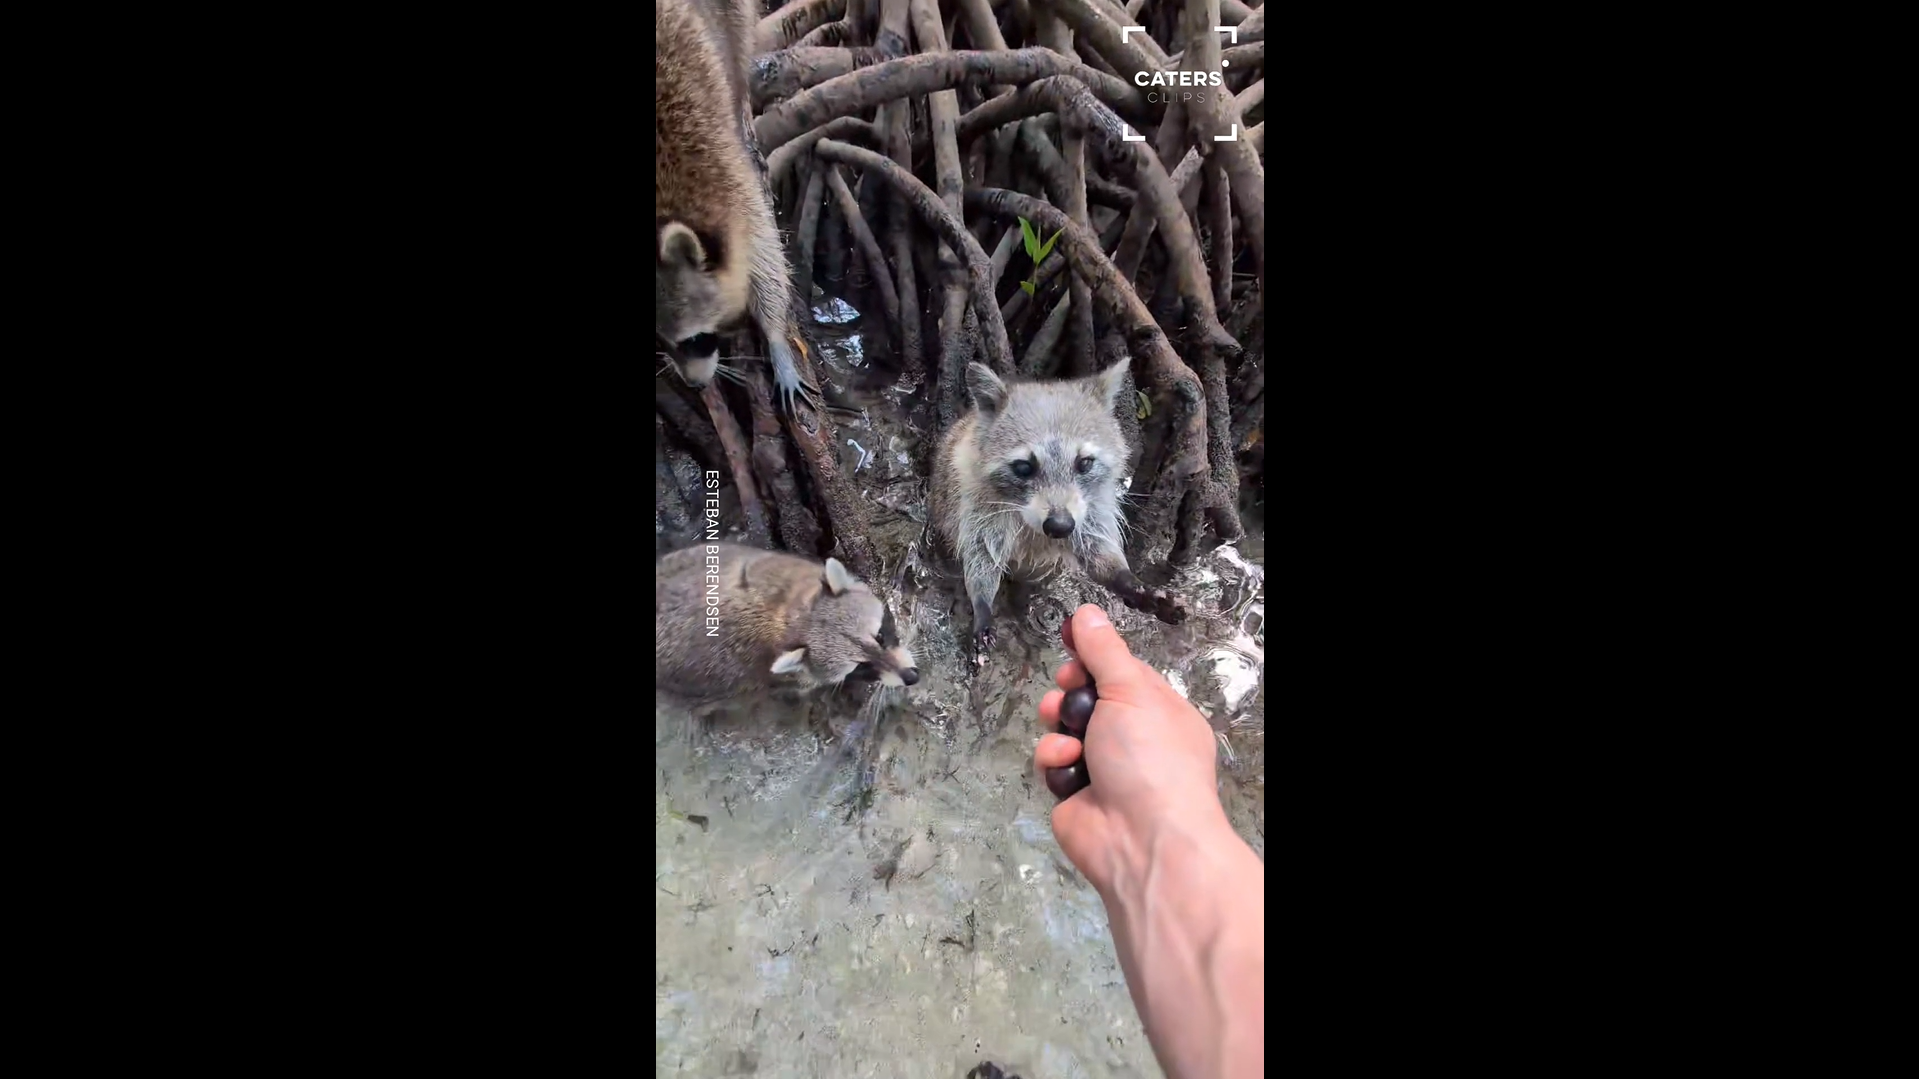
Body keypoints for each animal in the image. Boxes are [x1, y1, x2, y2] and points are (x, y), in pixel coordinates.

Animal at [656, 0, 811, 409]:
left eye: (696, 340)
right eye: (658, 340)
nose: (695, 386)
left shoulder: (734, 183)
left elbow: (767, 258)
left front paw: (776, 339)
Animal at [931, 361, 1188, 656]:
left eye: (1084, 463)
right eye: (1024, 467)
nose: (1060, 526)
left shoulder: (1092, 506)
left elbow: (1097, 552)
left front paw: (1127, 580)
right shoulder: (976, 504)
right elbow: (981, 556)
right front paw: (981, 603)